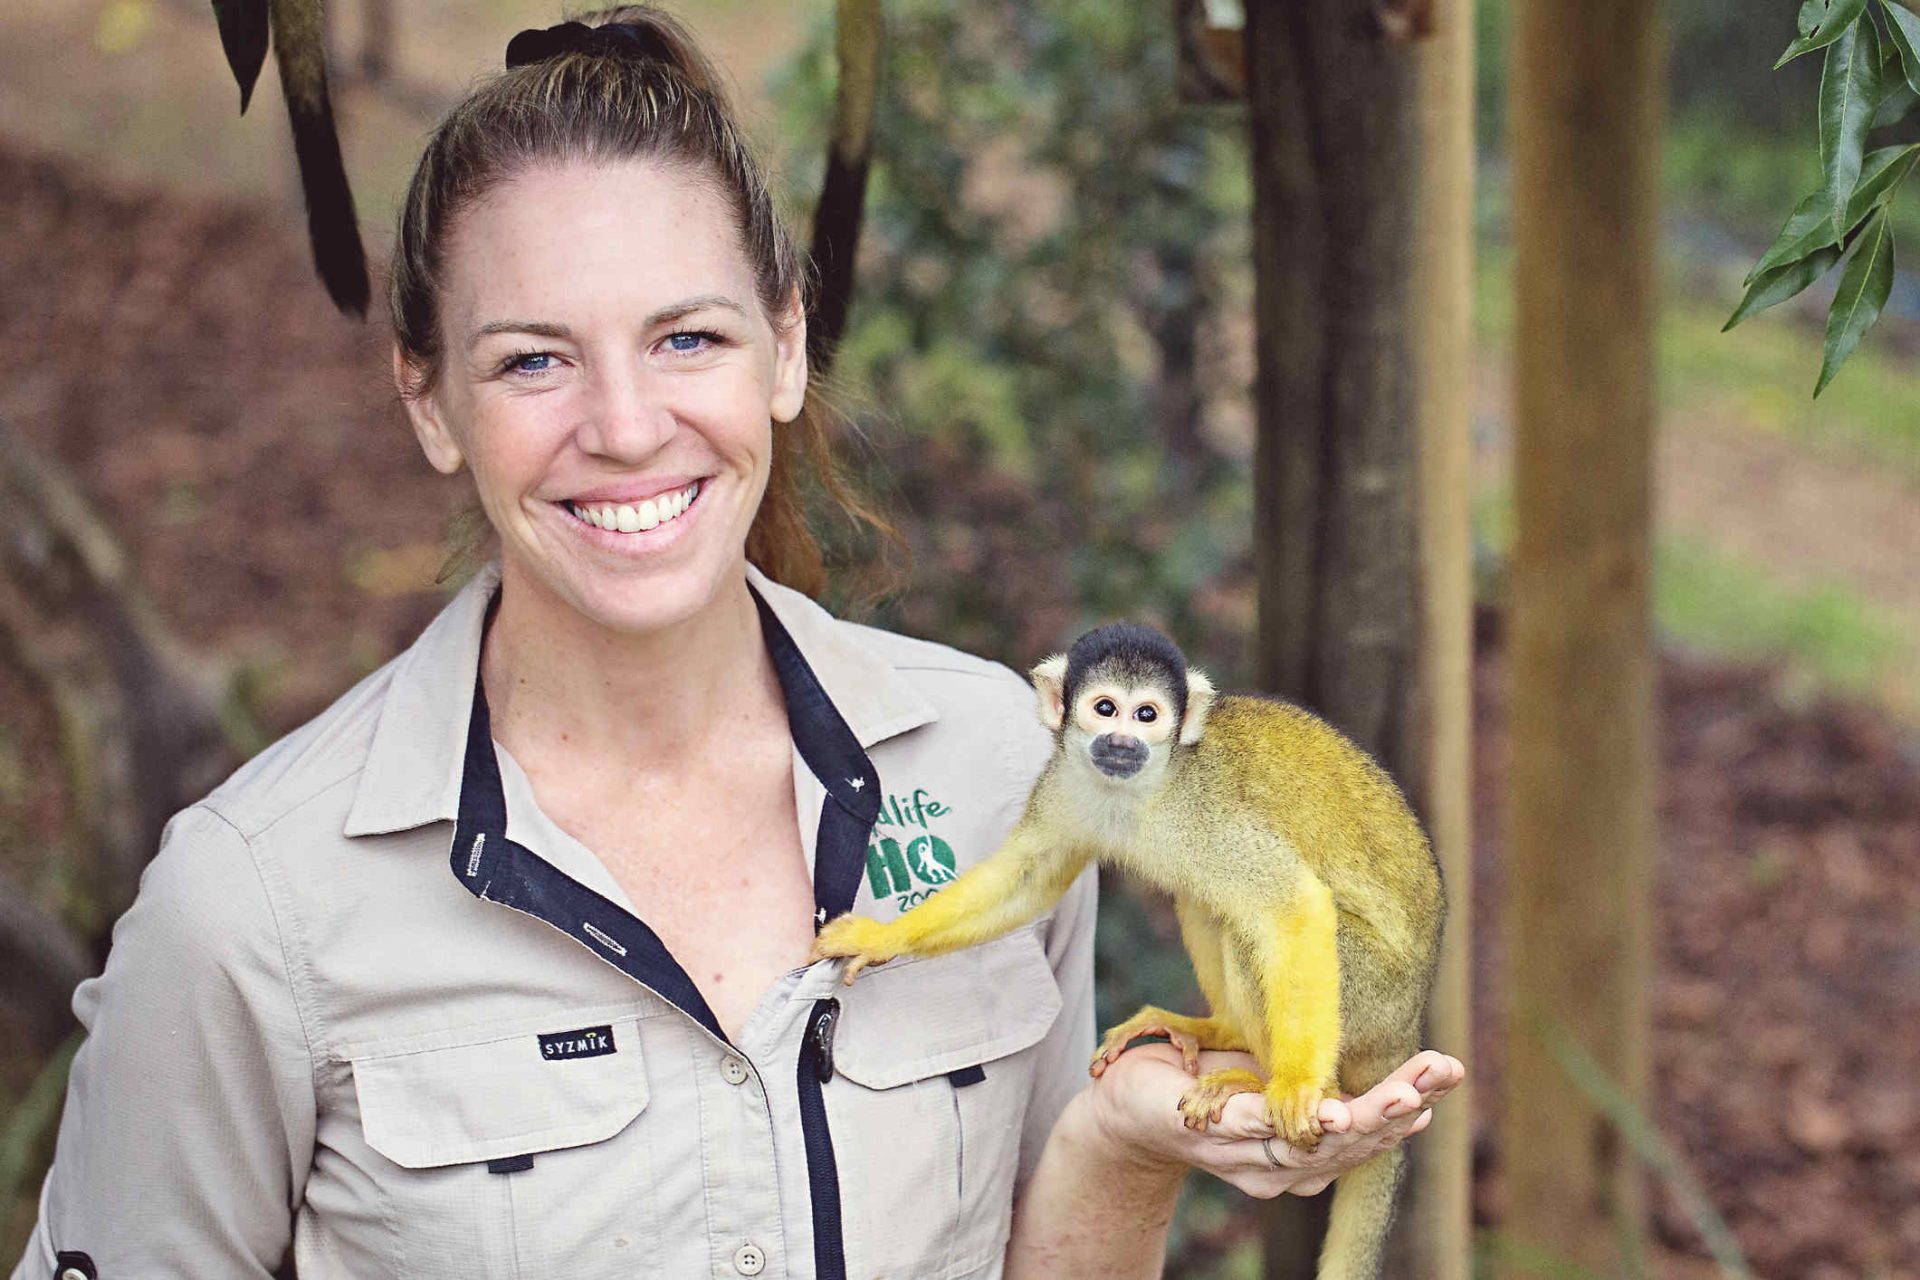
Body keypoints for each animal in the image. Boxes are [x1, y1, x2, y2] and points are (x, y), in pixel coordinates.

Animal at [811, 621, 1445, 1280]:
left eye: (1148, 714)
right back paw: (1223, 1033)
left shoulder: (1209, 815)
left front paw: (1295, 1088)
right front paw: (882, 937)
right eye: (1106, 709)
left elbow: (1291, 904)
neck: (1141, 787)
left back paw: (1275, 1081)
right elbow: (1028, 880)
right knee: (1206, 905)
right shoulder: (1063, 780)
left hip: (1370, 996)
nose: (1122, 741)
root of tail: (1410, 1023)